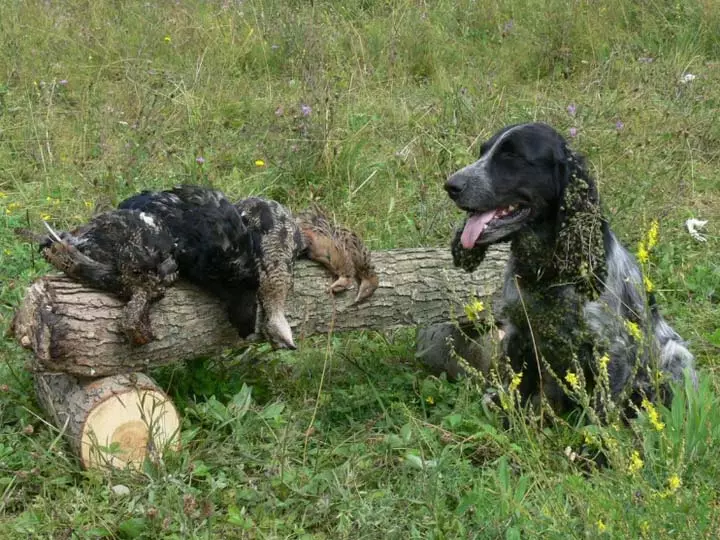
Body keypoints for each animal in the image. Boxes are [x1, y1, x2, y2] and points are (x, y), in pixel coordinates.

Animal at [448, 122, 696, 416]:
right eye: (483, 152)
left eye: (511, 156)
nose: (451, 185)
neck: (547, 270)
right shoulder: (519, 333)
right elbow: (517, 392)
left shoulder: (611, 349)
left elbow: (602, 413)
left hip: (677, 356)